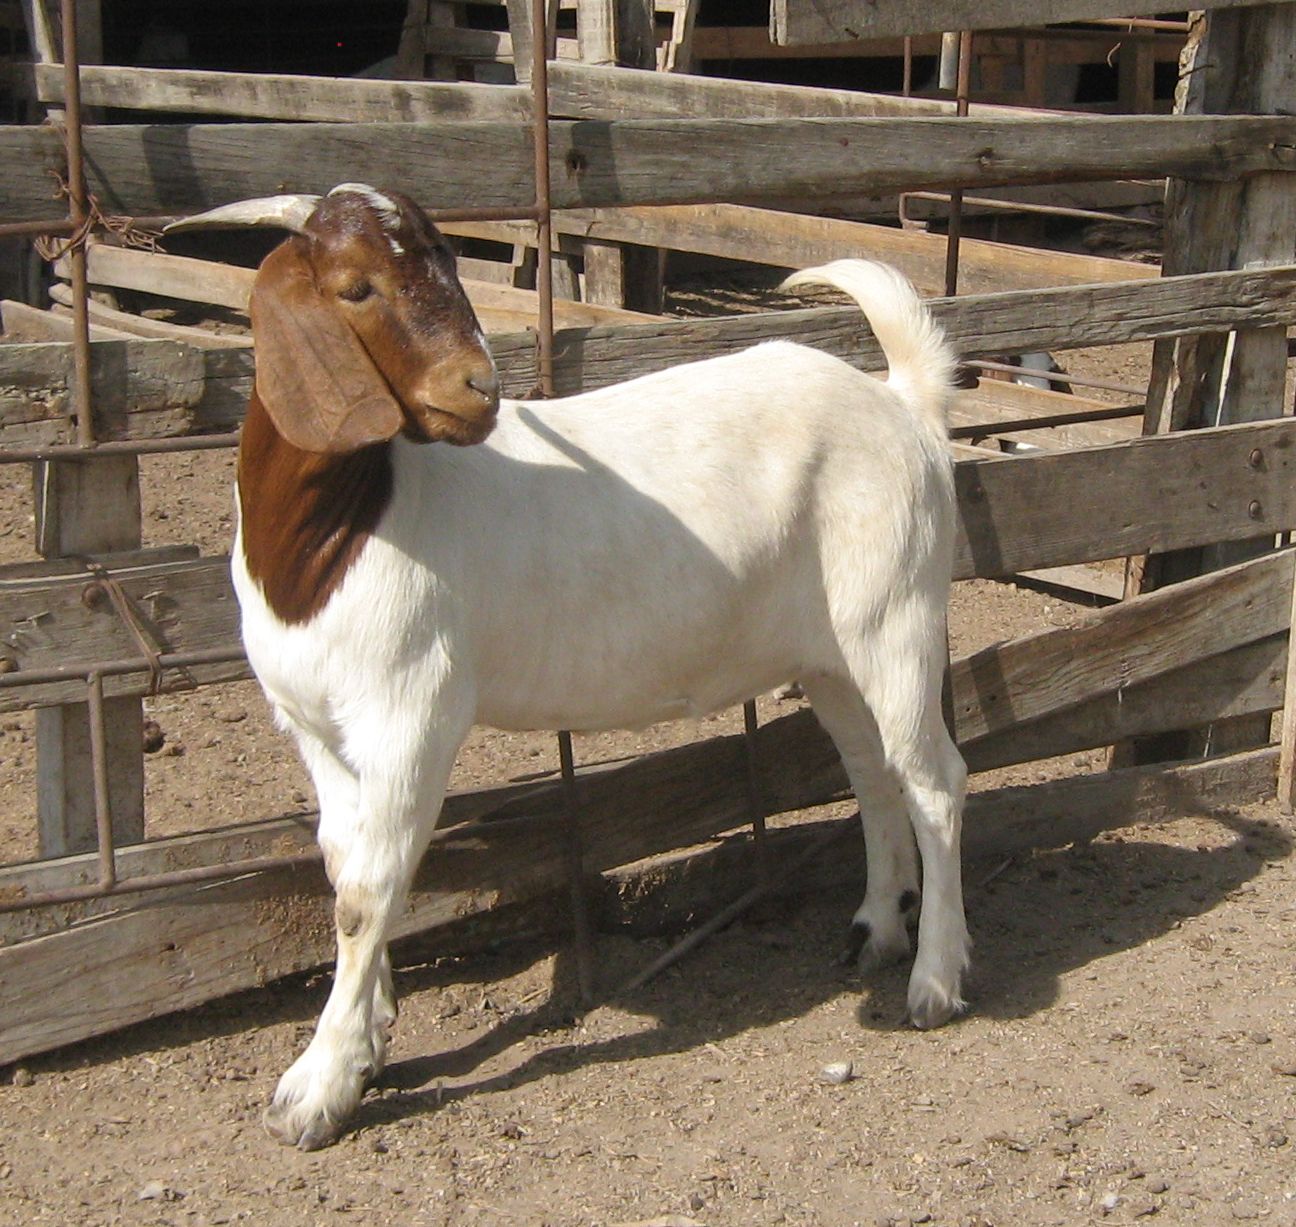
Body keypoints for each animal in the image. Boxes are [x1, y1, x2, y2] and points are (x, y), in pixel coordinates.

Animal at [171, 184, 970, 1150]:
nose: (479, 388)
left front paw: (317, 1088)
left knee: (935, 781)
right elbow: (340, 862)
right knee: (872, 770)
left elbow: (366, 888)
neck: (347, 528)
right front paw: (369, 1036)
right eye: (356, 286)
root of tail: (904, 403)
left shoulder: (411, 710)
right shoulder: (314, 725)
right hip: (833, 652)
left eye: (448, 262)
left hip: (898, 616)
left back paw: (936, 979)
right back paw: (877, 930)